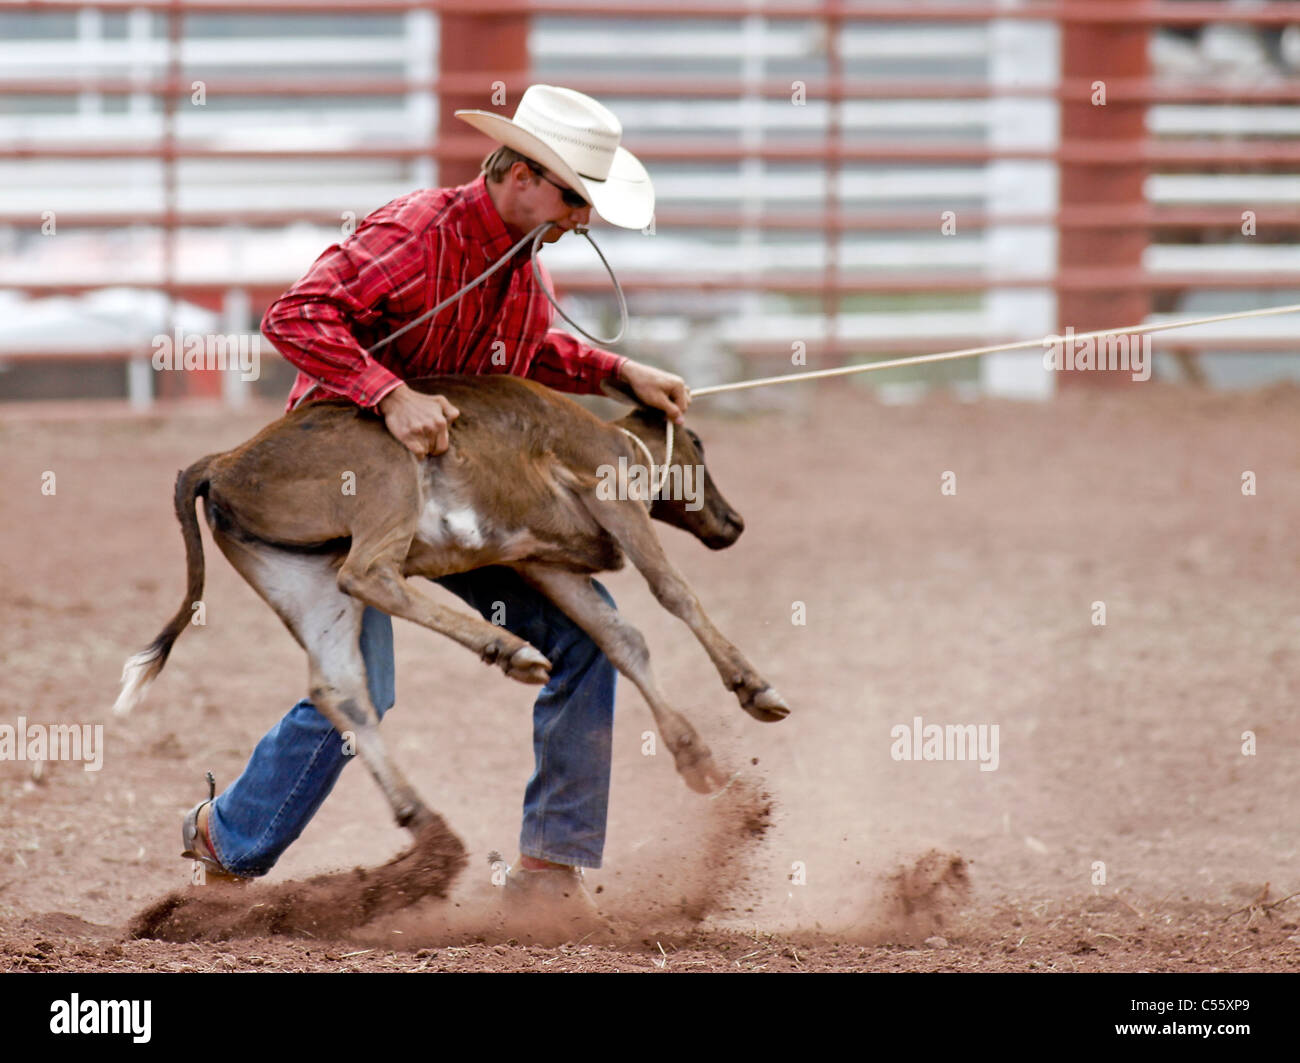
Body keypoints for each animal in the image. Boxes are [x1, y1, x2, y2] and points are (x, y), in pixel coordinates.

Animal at [114, 375, 790, 838]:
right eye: (696, 442)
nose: (734, 523)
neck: (611, 439)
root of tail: (224, 461)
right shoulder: (610, 495)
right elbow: (671, 591)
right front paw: (753, 687)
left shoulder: (543, 561)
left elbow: (620, 638)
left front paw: (696, 756)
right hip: (385, 482)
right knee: (371, 576)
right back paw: (509, 650)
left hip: (300, 577)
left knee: (339, 686)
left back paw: (422, 818)